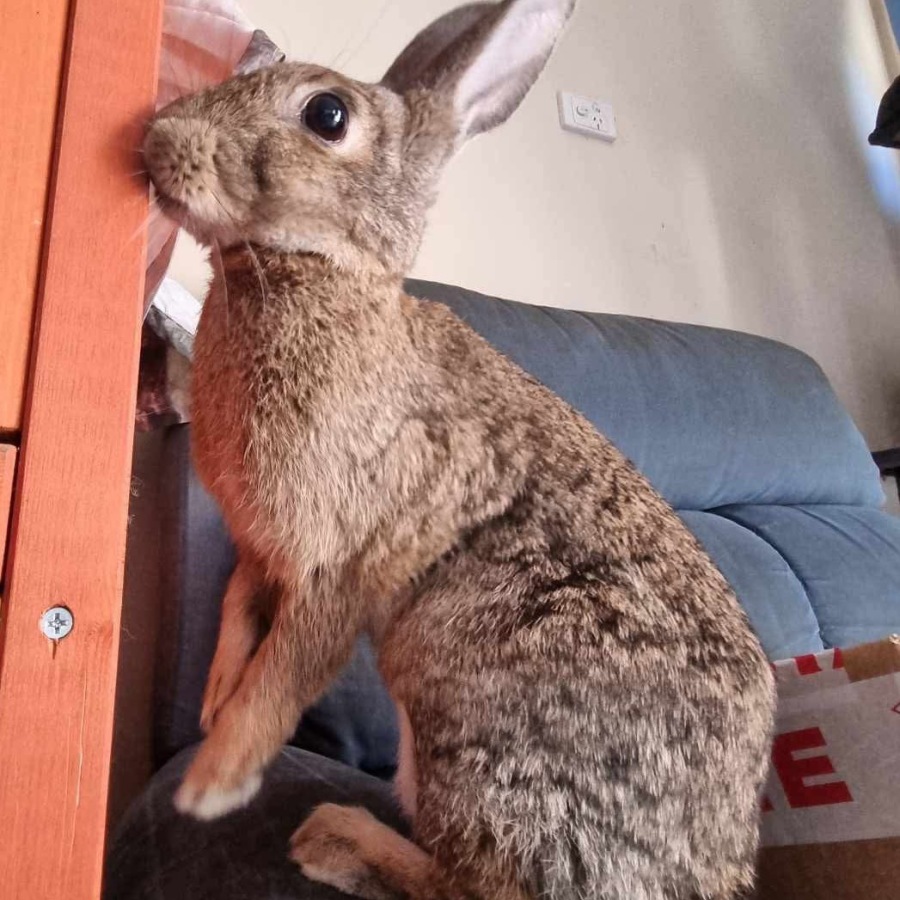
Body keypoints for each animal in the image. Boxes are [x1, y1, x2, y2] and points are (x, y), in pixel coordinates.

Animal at [142, 1, 775, 898]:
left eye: (326, 115)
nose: (157, 138)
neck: (317, 272)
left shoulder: (341, 567)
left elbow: (284, 677)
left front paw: (211, 784)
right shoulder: (262, 553)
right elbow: (238, 614)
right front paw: (212, 700)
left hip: (468, 689)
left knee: (482, 883)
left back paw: (333, 837)